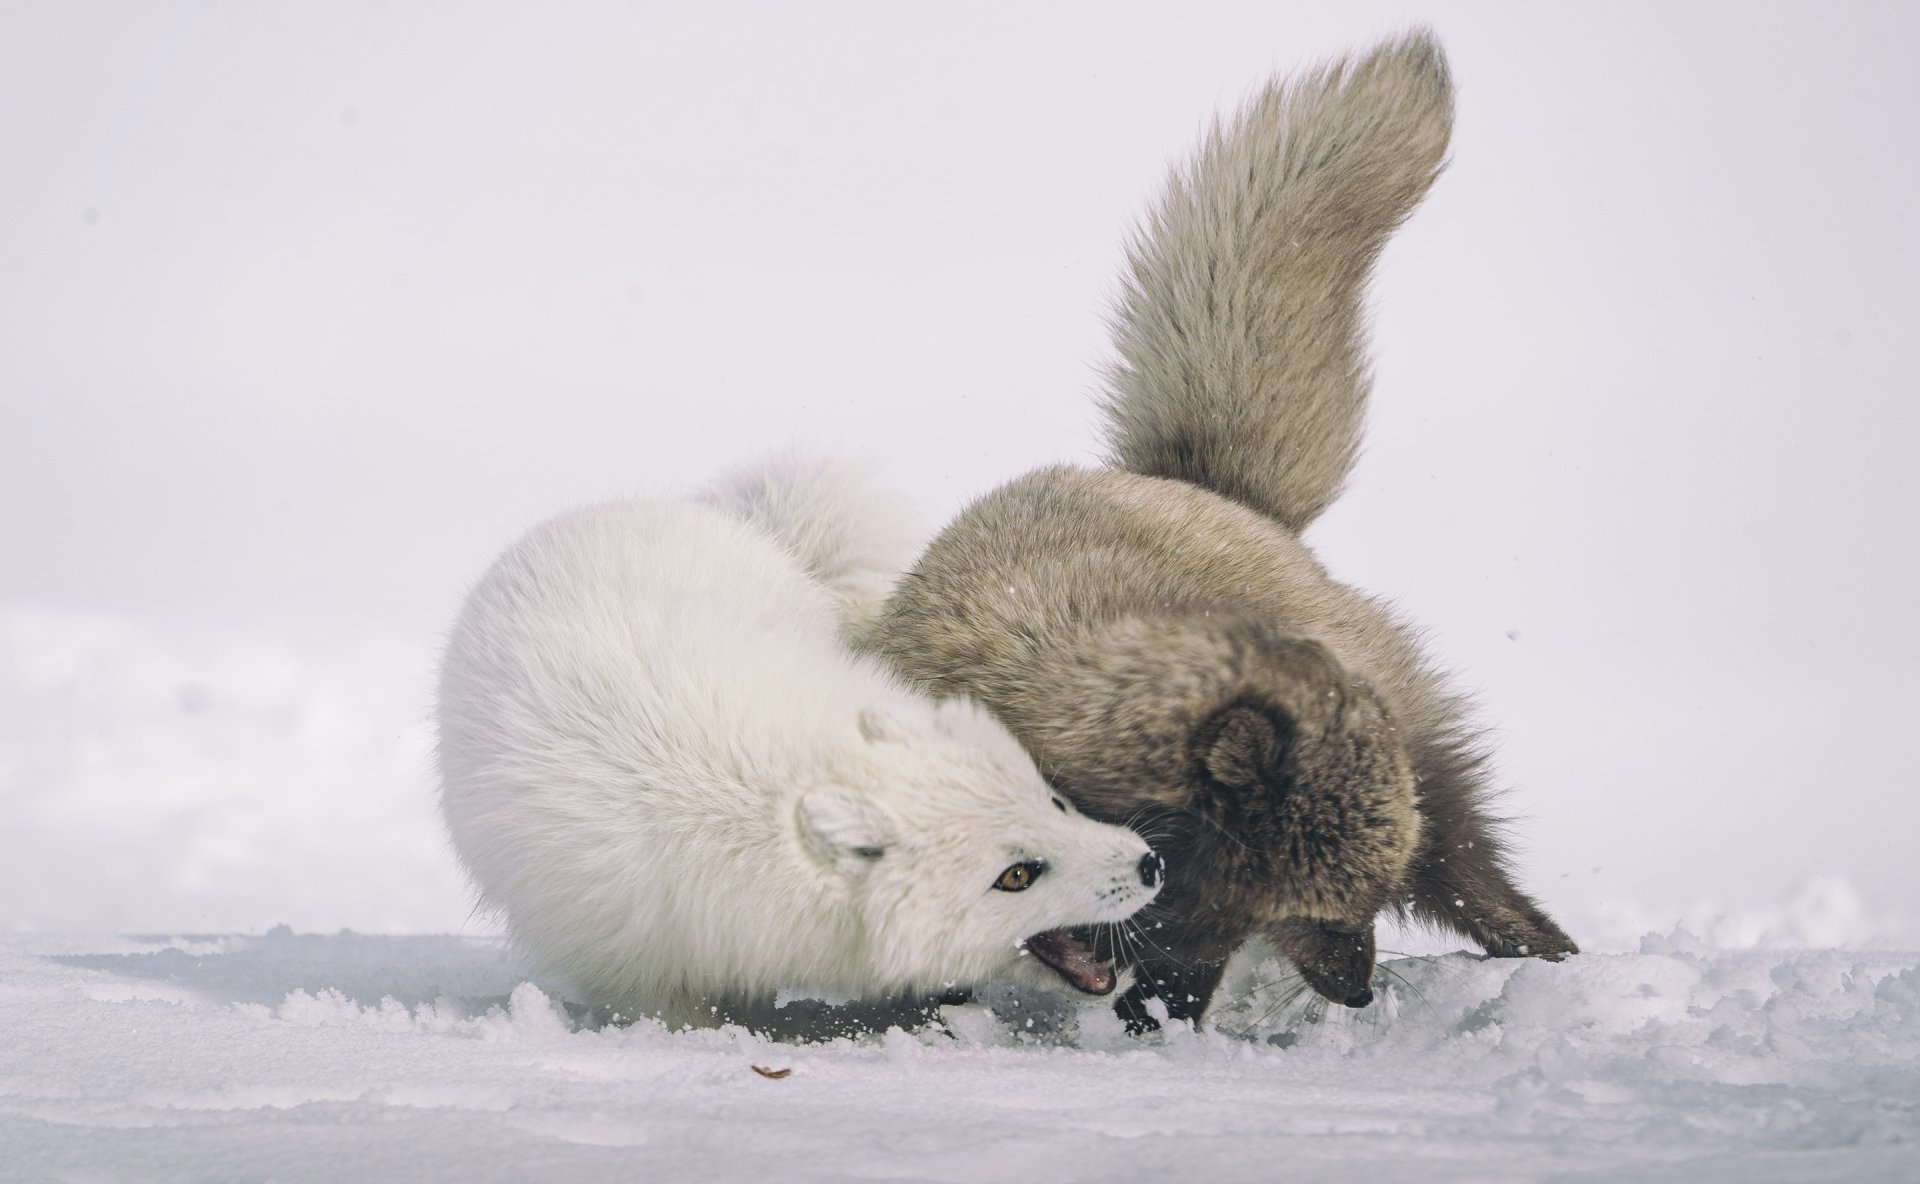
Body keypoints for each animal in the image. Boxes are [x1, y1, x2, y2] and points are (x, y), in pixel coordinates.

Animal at [861, 31, 1576, 1031]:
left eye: (1351, 900)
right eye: (1315, 901)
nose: (1358, 987)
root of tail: (1200, 486)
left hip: (1414, 734)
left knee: (1462, 848)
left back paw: (1544, 950)